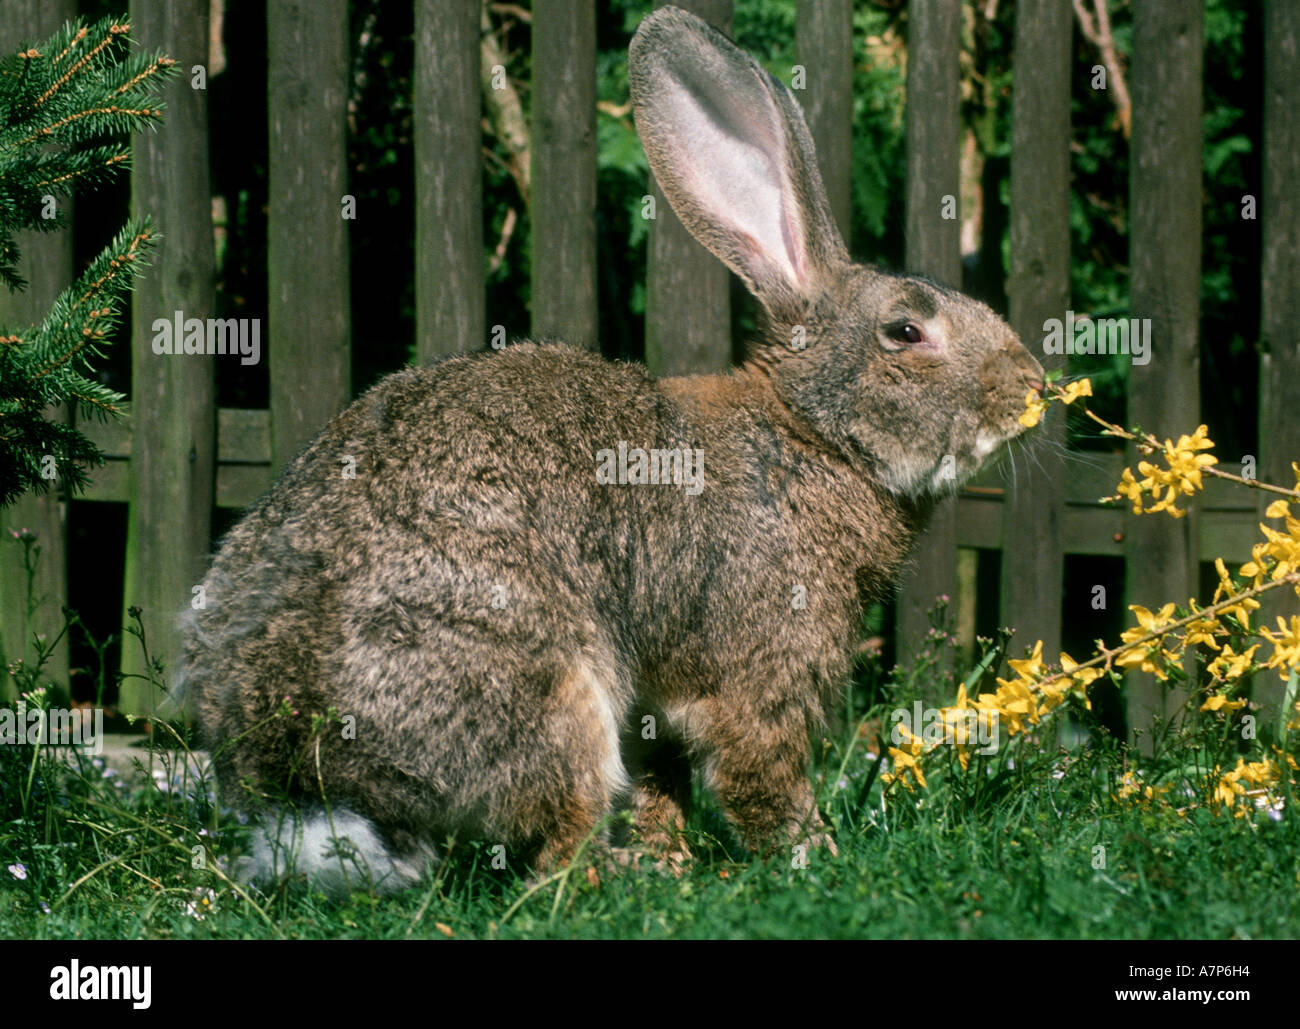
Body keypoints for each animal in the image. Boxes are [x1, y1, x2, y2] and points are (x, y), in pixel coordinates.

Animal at [180, 4, 1044, 893]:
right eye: (906, 331)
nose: (1031, 384)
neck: (813, 435)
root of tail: (317, 801)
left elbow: (667, 777)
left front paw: (678, 846)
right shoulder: (761, 672)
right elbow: (759, 772)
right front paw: (811, 854)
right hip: (553, 690)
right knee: (558, 854)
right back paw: (628, 873)